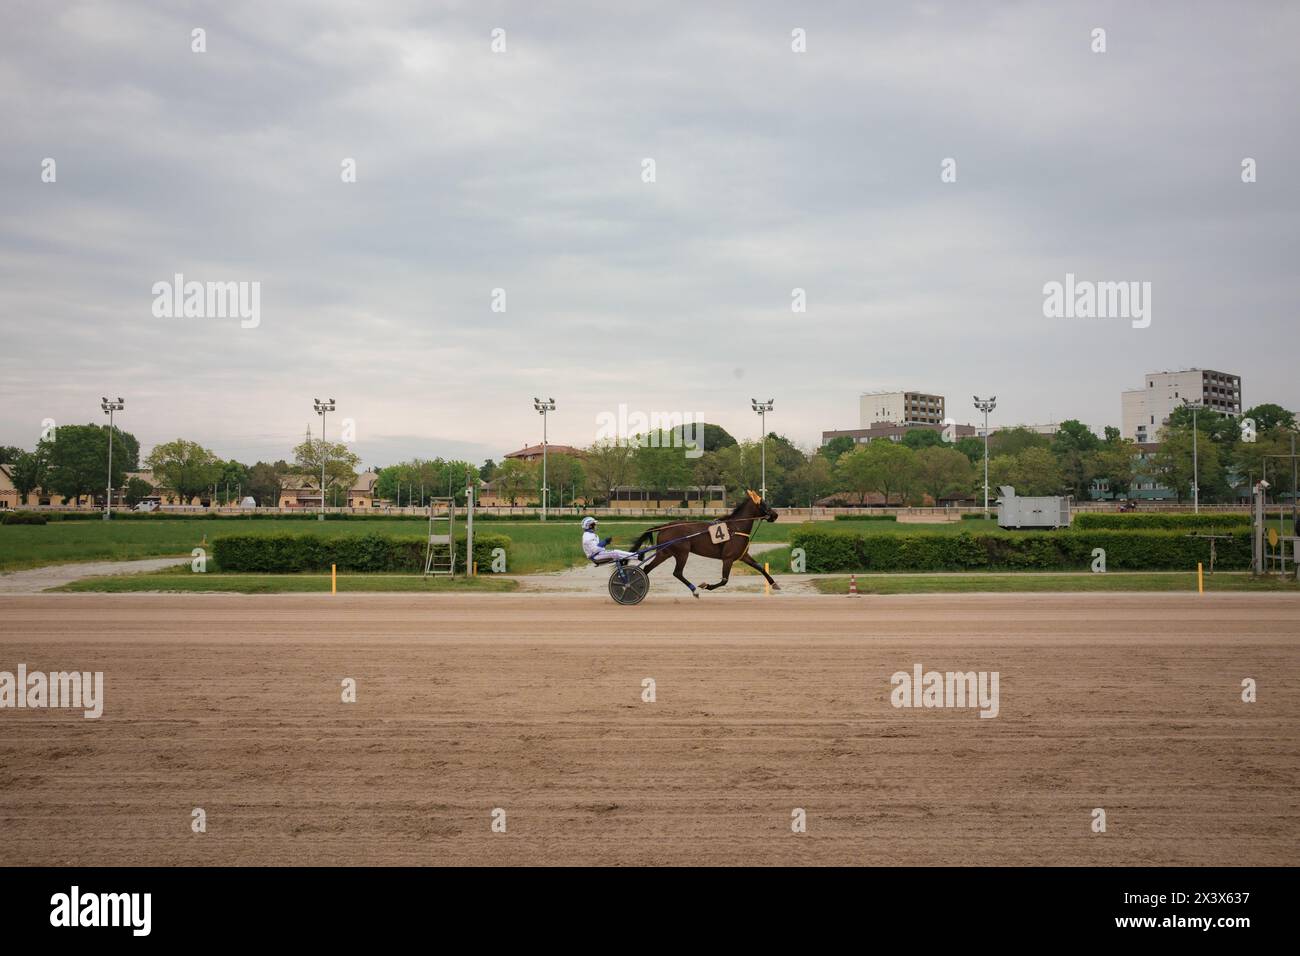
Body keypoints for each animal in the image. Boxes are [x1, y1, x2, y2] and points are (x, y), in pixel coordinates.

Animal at [628, 489, 780, 597]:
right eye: (764, 503)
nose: (775, 515)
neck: (736, 528)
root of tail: (665, 526)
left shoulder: (743, 556)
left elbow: (760, 567)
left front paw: (774, 584)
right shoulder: (728, 558)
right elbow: (724, 580)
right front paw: (706, 585)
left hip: (665, 552)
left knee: (647, 568)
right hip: (682, 553)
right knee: (677, 572)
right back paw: (694, 590)